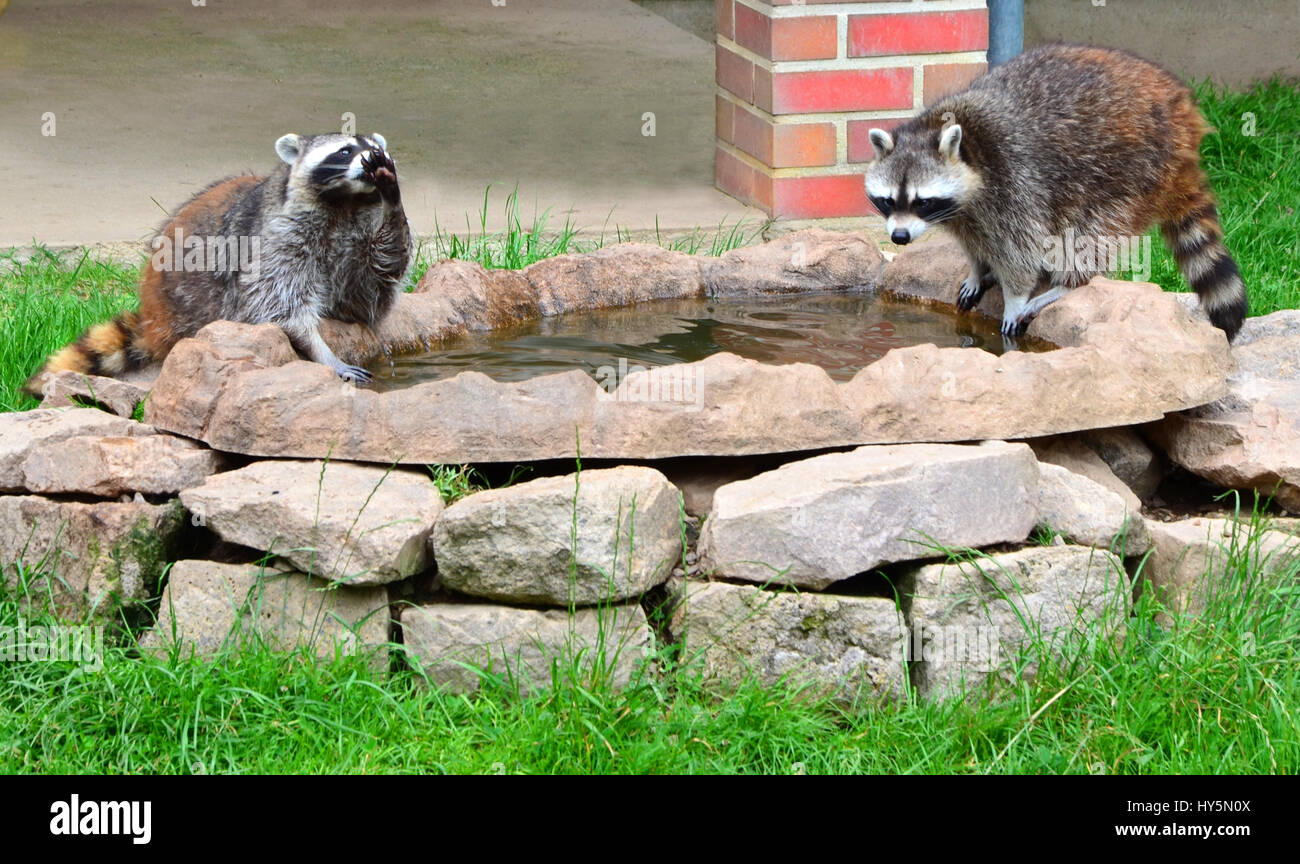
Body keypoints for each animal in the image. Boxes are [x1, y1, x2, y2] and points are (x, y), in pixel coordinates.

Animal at [25, 132, 412, 393]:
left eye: (376, 147)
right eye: (345, 150)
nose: (376, 157)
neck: (344, 203)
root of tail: (154, 317)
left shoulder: (354, 237)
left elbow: (366, 295)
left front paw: (392, 197)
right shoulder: (274, 237)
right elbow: (277, 305)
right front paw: (323, 353)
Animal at [864, 43, 1248, 340]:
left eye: (922, 201)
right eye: (887, 201)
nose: (899, 237)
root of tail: (1182, 117)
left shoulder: (1014, 181)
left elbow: (1021, 249)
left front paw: (1015, 296)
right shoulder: (966, 213)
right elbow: (974, 241)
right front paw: (977, 268)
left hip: (1130, 171)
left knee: (1090, 231)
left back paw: (1068, 283)